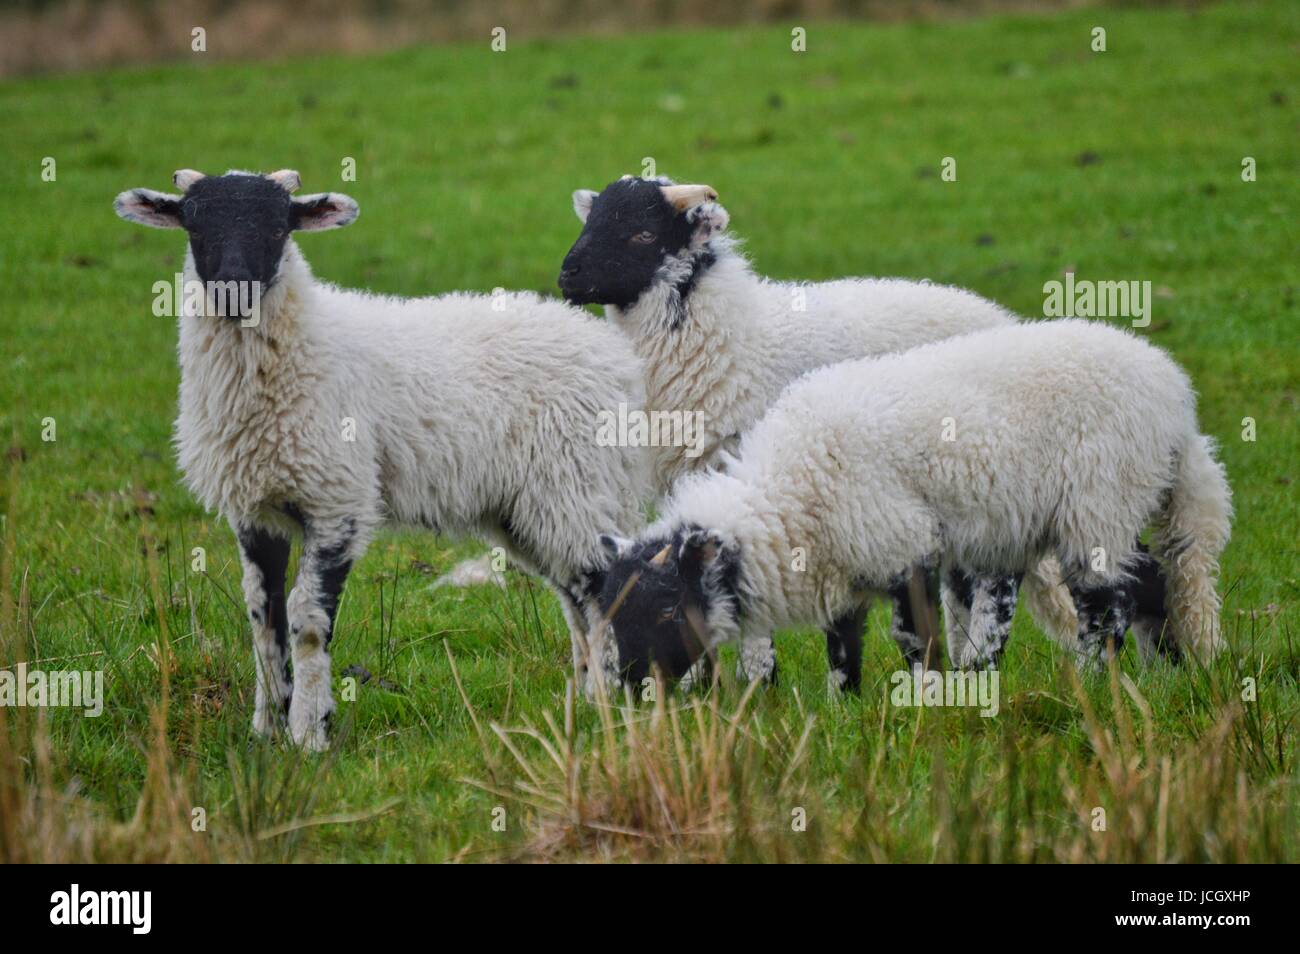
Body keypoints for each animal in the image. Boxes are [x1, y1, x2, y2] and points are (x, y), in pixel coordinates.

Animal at [114, 168, 651, 749]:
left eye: (279, 227)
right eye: (195, 224)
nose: (233, 289)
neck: (305, 345)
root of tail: (616, 359)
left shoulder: (337, 500)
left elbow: (307, 621)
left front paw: (308, 734)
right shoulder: (257, 510)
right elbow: (263, 615)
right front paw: (266, 731)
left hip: (574, 482)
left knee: (606, 587)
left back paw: (613, 705)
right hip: (532, 507)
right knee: (577, 598)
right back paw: (589, 699)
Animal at [559, 174, 1078, 677]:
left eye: (643, 233)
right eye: (592, 221)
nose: (566, 277)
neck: (728, 334)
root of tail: (996, 314)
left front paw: (757, 682)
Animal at [591, 319, 1232, 690]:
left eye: (667, 609)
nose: (629, 688)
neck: (792, 495)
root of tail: (1177, 398)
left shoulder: (900, 541)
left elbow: (913, 638)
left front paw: (925, 701)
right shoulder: (845, 563)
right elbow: (842, 644)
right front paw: (846, 708)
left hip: (1099, 498)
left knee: (1107, 603)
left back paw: (1097, 679)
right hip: (1116, 503)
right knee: (1153, 581)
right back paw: (1168, 671)